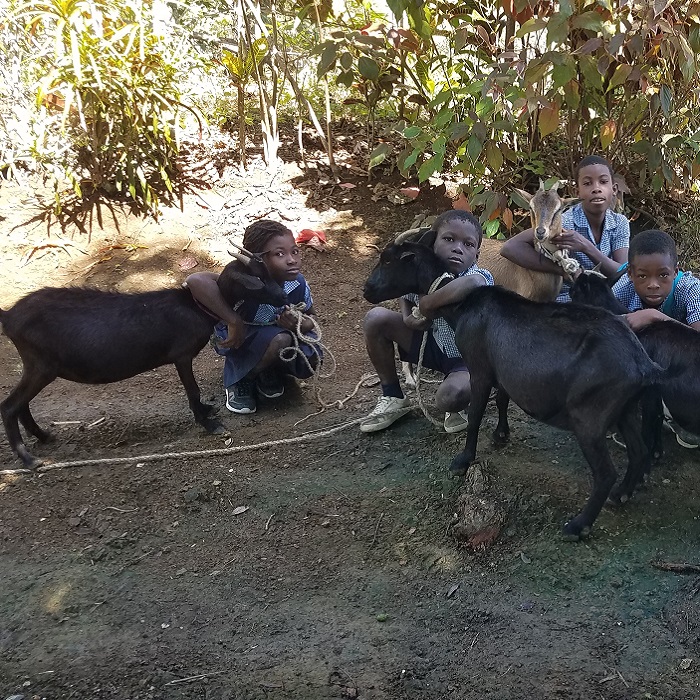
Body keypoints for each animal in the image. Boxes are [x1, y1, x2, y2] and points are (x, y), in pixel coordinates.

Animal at [0, 253, 287, 468]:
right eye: (258, 279)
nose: (283, 297)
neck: (197, 307)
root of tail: (9, 316)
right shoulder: (182, 355)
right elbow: (192, 390)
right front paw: (209, 423)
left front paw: (207, 410)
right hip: (41, 365)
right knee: (9, 406)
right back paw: (28, 459)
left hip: (36, 366)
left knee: (21, 403)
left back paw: (44, 436)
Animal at [364, 240, 662, 540]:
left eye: (388, 261)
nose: (367, 289)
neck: (462, 306)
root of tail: (643, 365)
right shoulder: (502, 369)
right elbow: (503, 399)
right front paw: (501, 434)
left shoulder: (480, 369)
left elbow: (476, 416)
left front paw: (463, 460)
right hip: (624, 409)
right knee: (639, 451)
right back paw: (621, 494)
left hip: (590, 415)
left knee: (606, 472)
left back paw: (579, 525)